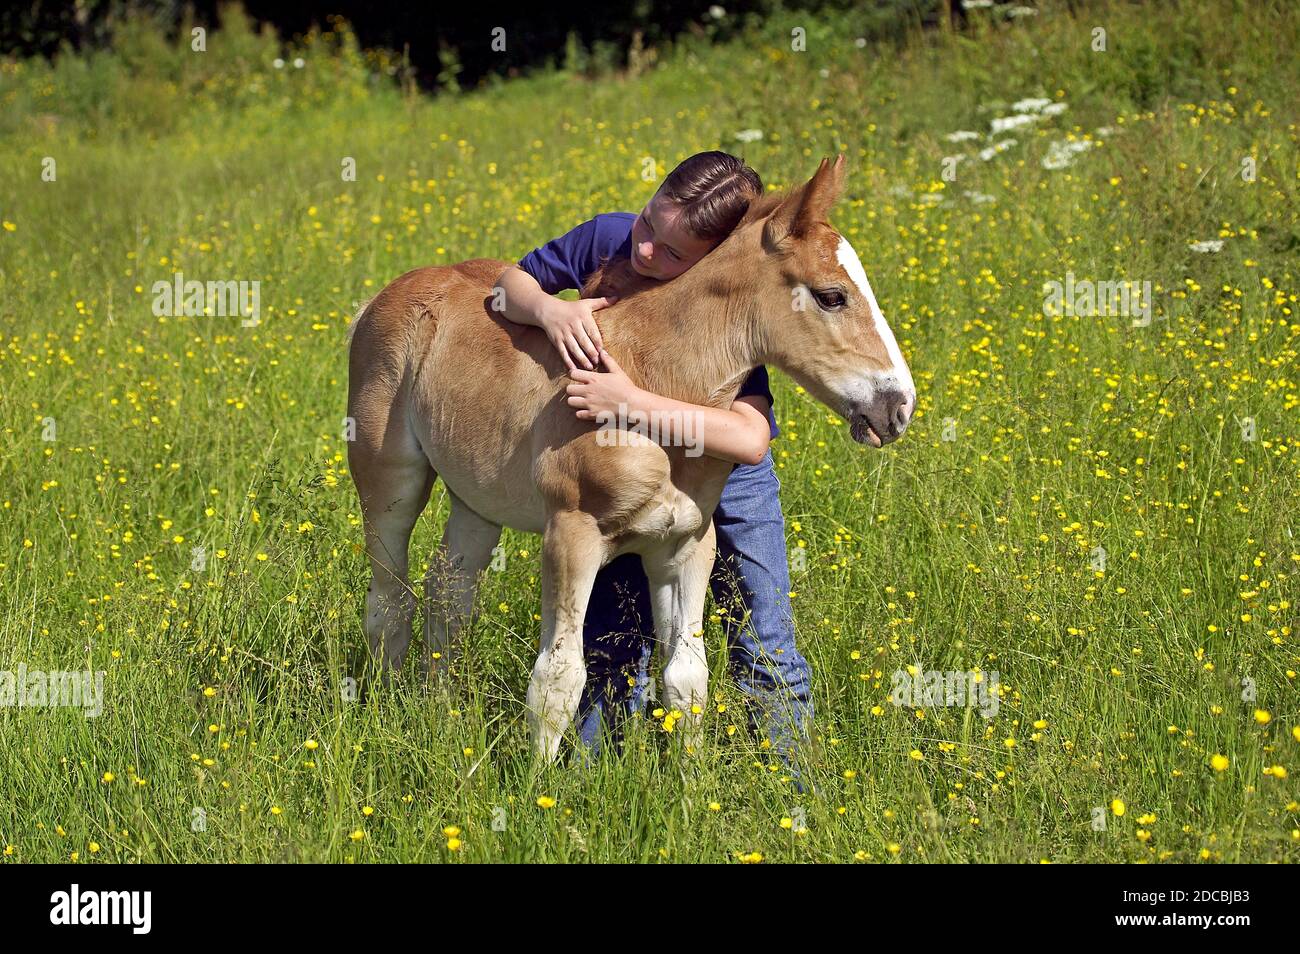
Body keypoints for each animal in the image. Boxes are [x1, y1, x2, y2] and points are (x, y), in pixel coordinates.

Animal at [346, 155, 915, 760]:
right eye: (832, 296)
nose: (898, 406)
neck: (658, 386)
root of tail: (381, 297)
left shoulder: (684, 544)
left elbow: (687, 678)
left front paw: (693, 783)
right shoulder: (571, 533)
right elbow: (559, 677)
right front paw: (534, 784)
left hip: (476, 498)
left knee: (447, 592)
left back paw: (440, 713)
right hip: (389, 478)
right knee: (388, 596)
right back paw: (388, 714)